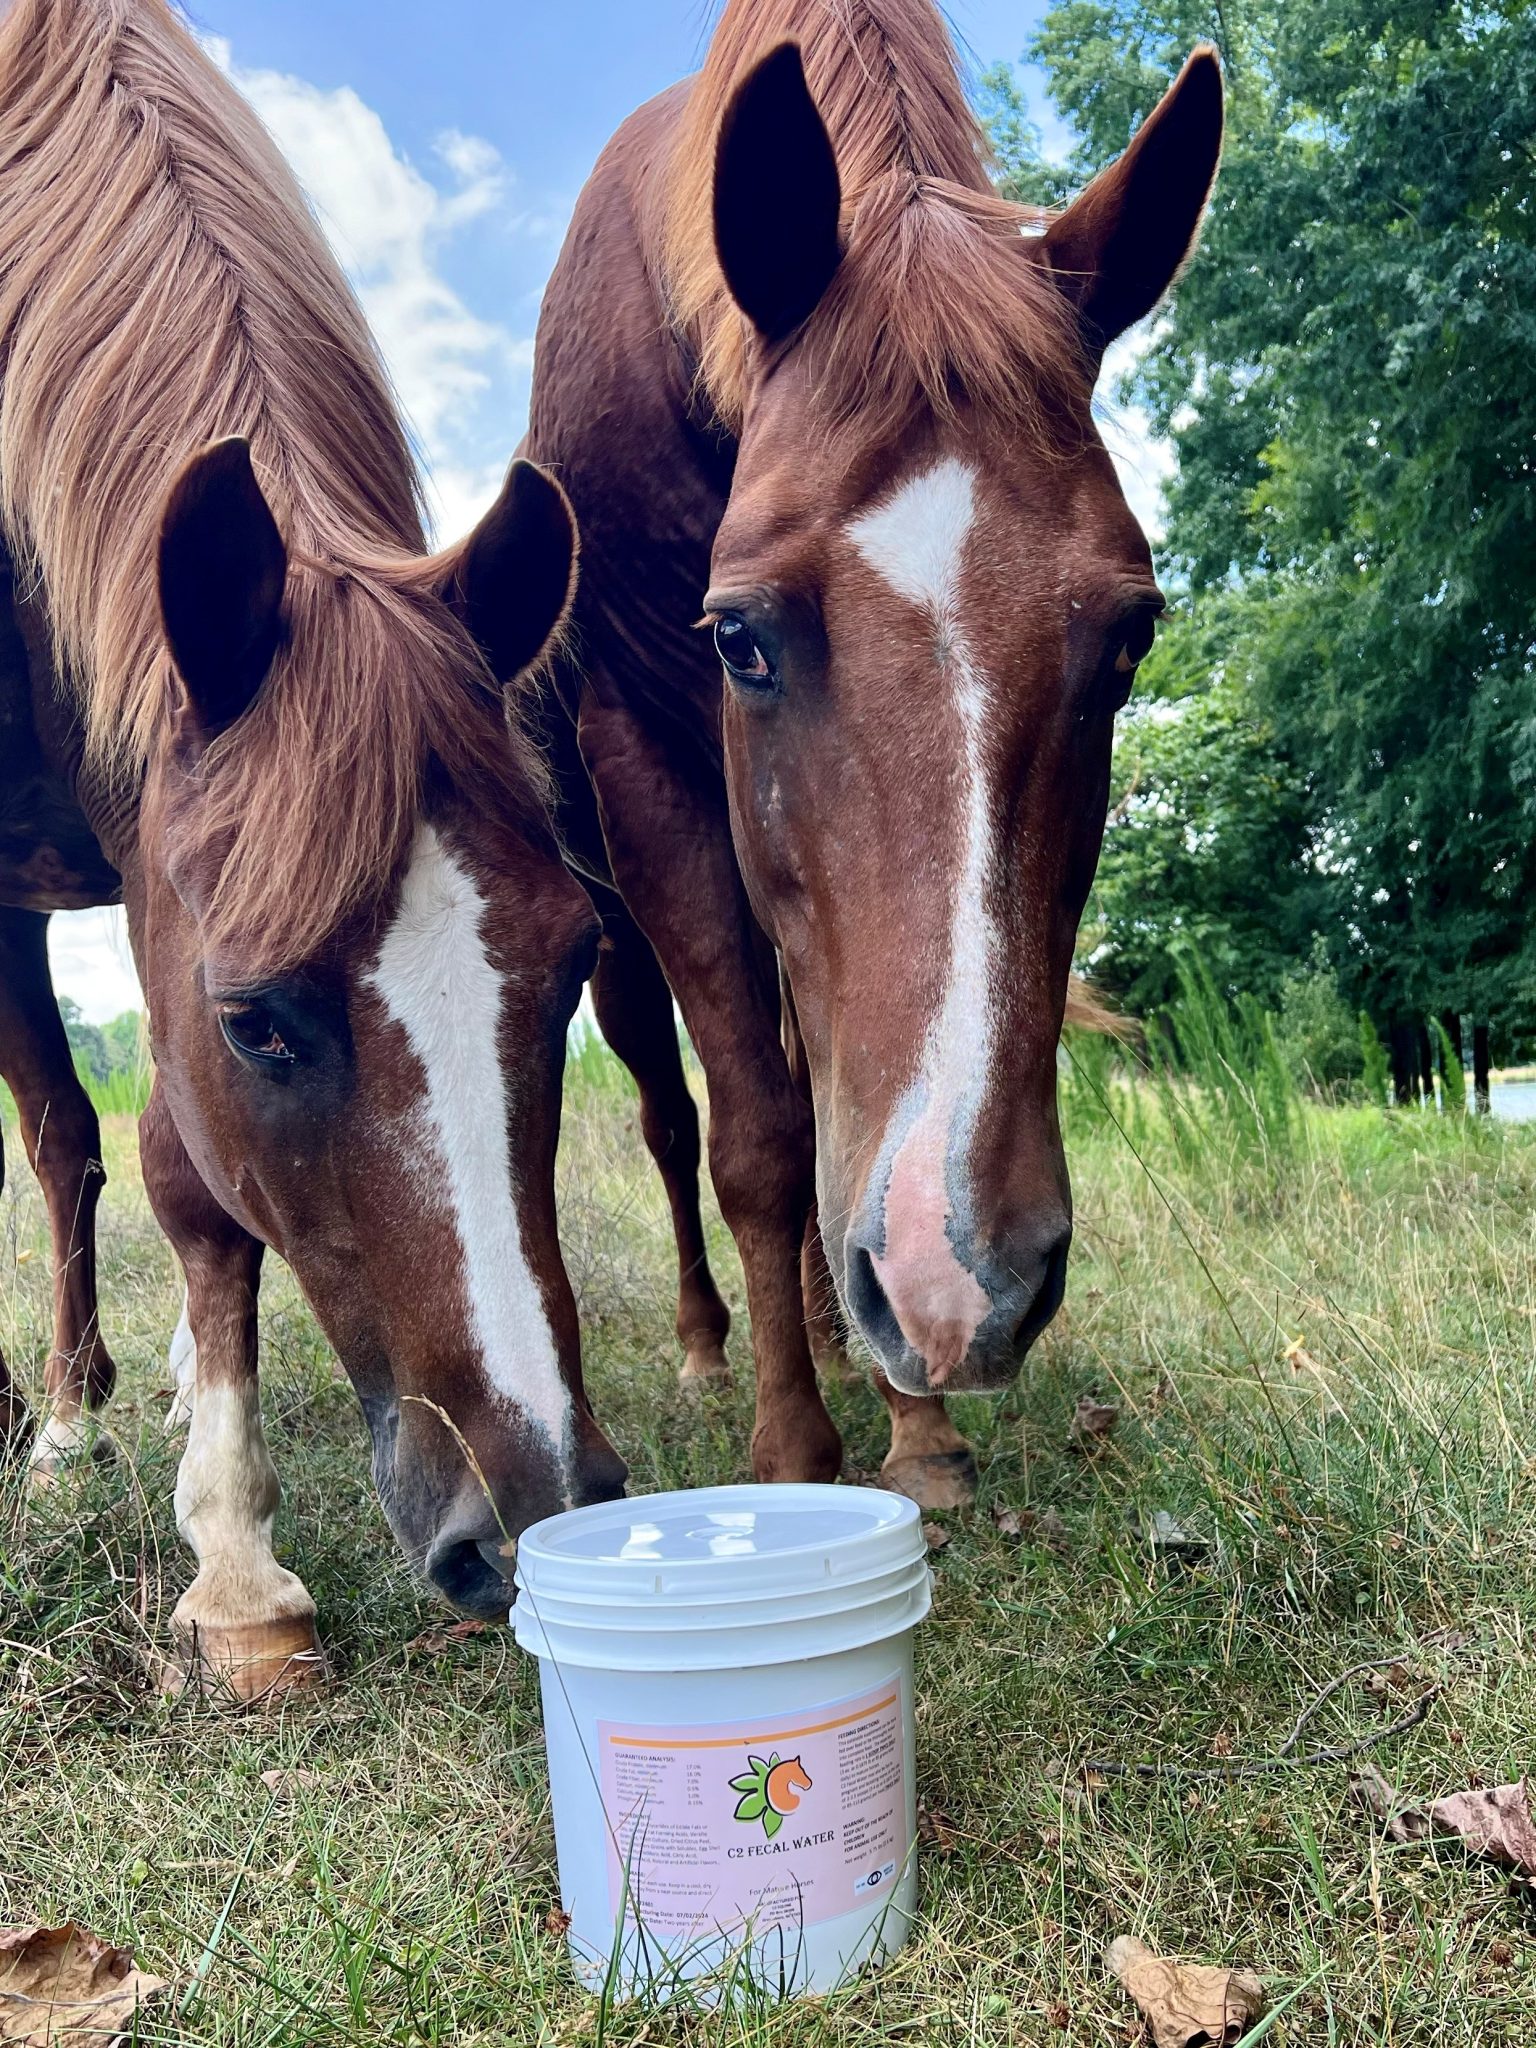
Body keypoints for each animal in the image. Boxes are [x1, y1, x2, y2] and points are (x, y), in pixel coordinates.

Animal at [0, 0, 625, 1699]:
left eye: (573, 968)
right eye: (259, 1025)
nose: (534, 1516)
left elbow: (177, 1168)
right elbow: (109, 1148)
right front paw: (222, 1552)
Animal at [525, 0, 1222, 1506]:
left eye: (1129, 637)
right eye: (738, 638)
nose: (956, 1284)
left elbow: (825, 1102)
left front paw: (919, 1431)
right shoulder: (653, 770)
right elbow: (755, 1139)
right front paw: (791, 1447)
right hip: (615, 934)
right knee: (680, 1115)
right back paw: (715, 1345)